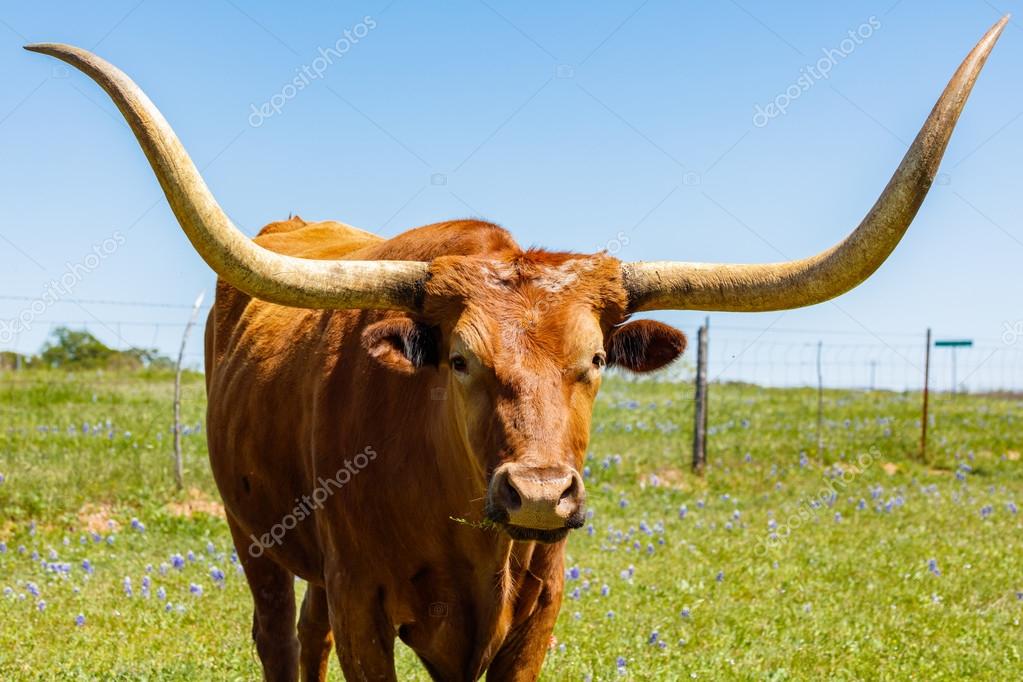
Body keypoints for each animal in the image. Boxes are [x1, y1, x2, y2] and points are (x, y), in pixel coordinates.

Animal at [27, 16, 1005, 681]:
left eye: (597, 360)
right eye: (459, 358)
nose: (538, 492)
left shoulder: (534, 615)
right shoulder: (366, 601)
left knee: (303, 635)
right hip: (252, 534)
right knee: (274, 634)